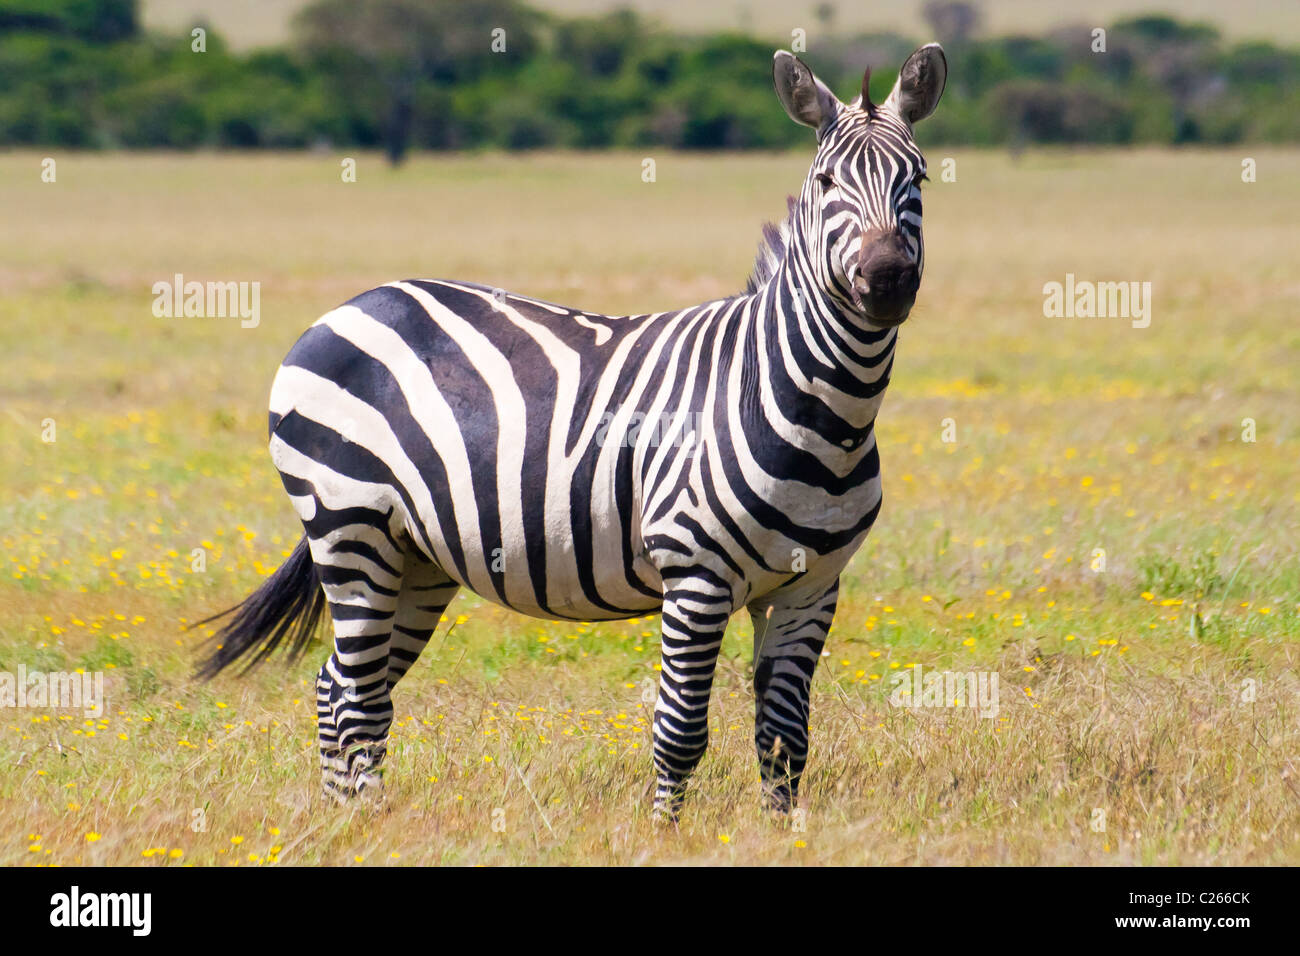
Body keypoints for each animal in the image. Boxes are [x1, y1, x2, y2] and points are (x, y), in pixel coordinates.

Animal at [198, 44, 947, 820]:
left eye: (918, 177)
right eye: (827, 182)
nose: (887, 279)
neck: (822, 412)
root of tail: (353, 304)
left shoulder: (811, 587)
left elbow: (784, 736)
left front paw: (782, 832)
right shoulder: (695, 573)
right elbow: (680, 729)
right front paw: (664, 833)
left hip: (416, 555)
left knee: (341, 687)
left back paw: (345, 818)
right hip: (349, 526)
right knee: (354, 700)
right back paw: (368, 819)